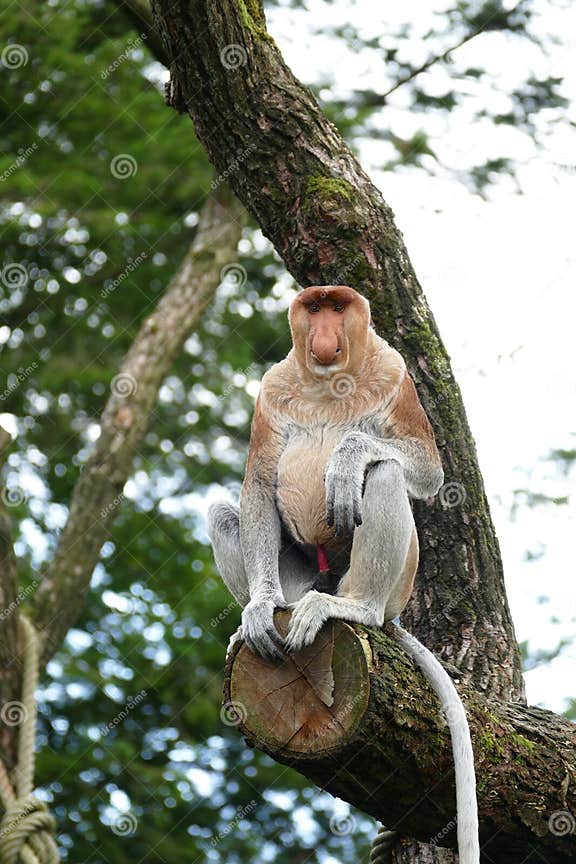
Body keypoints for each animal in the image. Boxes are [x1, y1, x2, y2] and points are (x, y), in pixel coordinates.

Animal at [208, 285, 480, 864]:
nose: (324, 337)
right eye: (314, 308)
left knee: (386, 471)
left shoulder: (396, 371)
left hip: (399, 582)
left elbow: (426, 468)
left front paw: (346, 458)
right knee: (223, 512)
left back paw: (353, 607)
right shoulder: (270, 390)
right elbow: (257, 486)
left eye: (337, 307)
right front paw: (258, 611)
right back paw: (267, 617)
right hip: (301, 576)